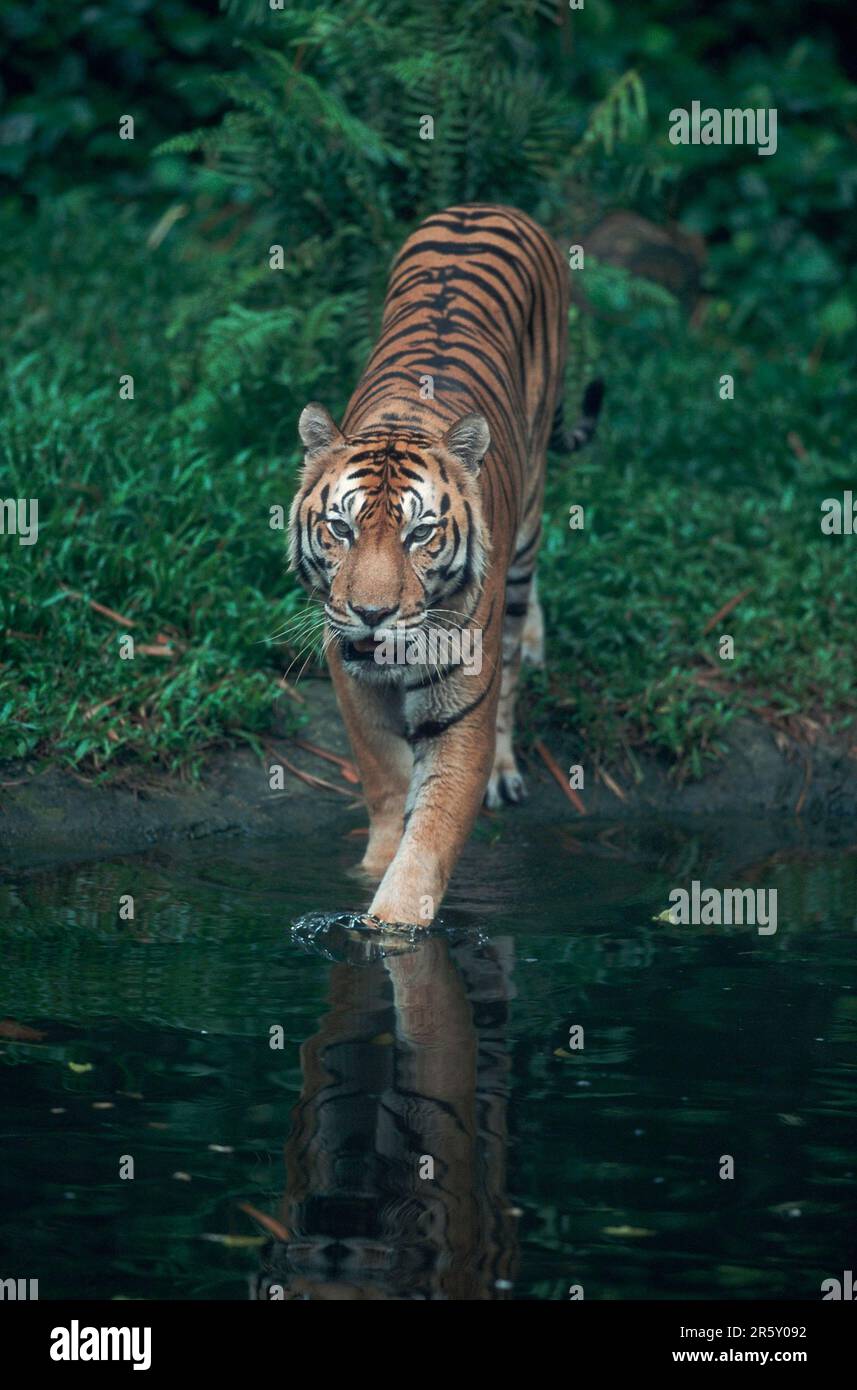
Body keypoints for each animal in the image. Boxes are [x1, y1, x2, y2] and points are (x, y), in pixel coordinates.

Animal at [289, 203, 602, 928]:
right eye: (341, 528)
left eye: (420, 534)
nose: (371, 614)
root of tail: (486, 206)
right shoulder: (353, 682)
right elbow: (385, 781)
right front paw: (371, 866)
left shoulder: (462, 715)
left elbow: (429, 838)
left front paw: (390, 923)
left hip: (527, 528)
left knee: (516, 642)